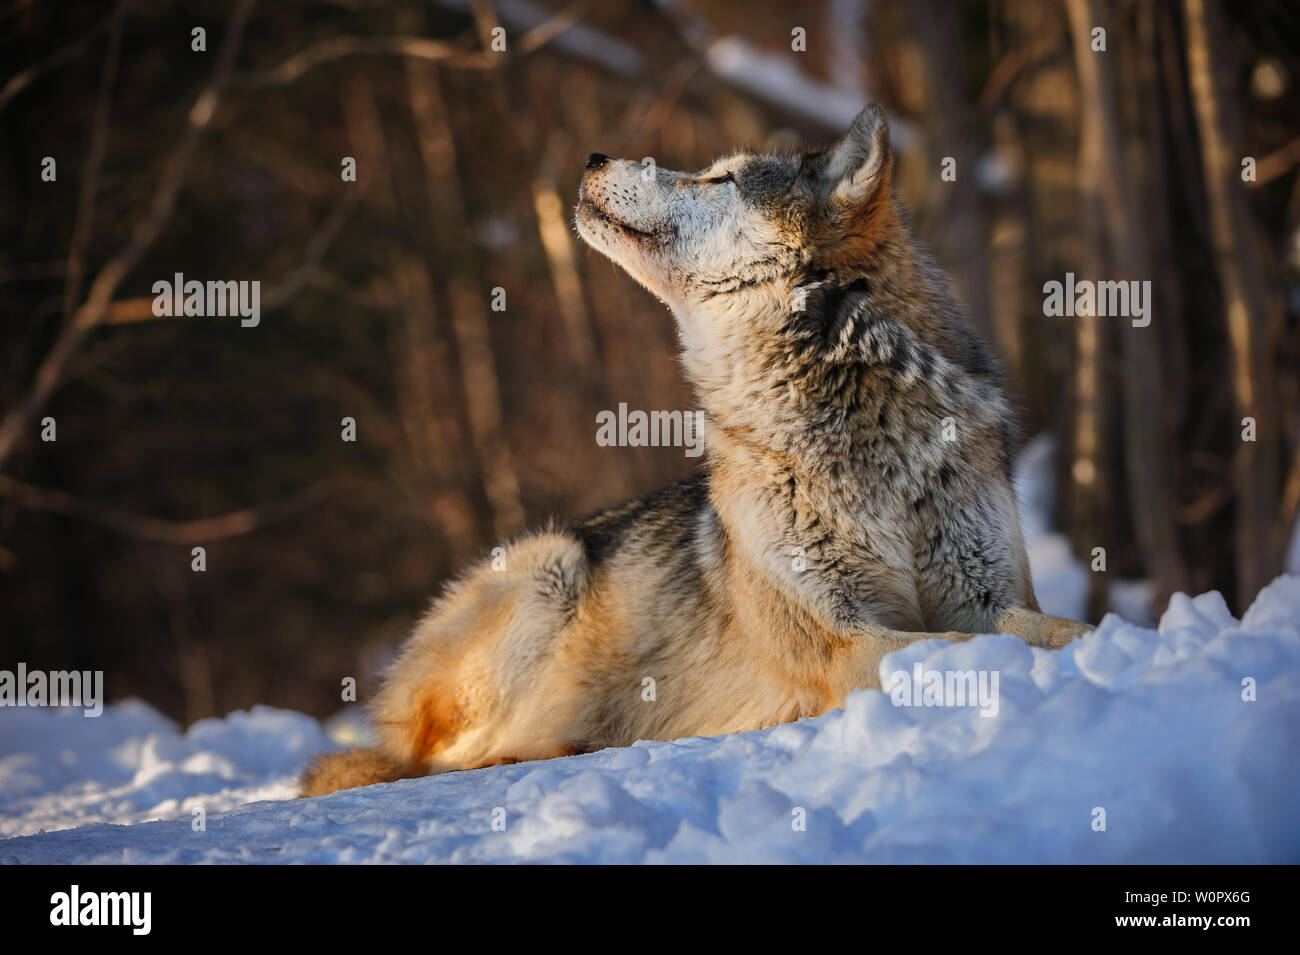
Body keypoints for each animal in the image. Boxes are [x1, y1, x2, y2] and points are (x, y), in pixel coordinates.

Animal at [299, 105, 1091, 797]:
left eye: (720, 181)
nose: (594, 156)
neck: (859, 439)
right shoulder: (839, 640)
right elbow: (958, 647)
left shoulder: (988, 594)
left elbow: (1040, 628)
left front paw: (1100, 640)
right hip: (550, 569)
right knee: (426, 763)